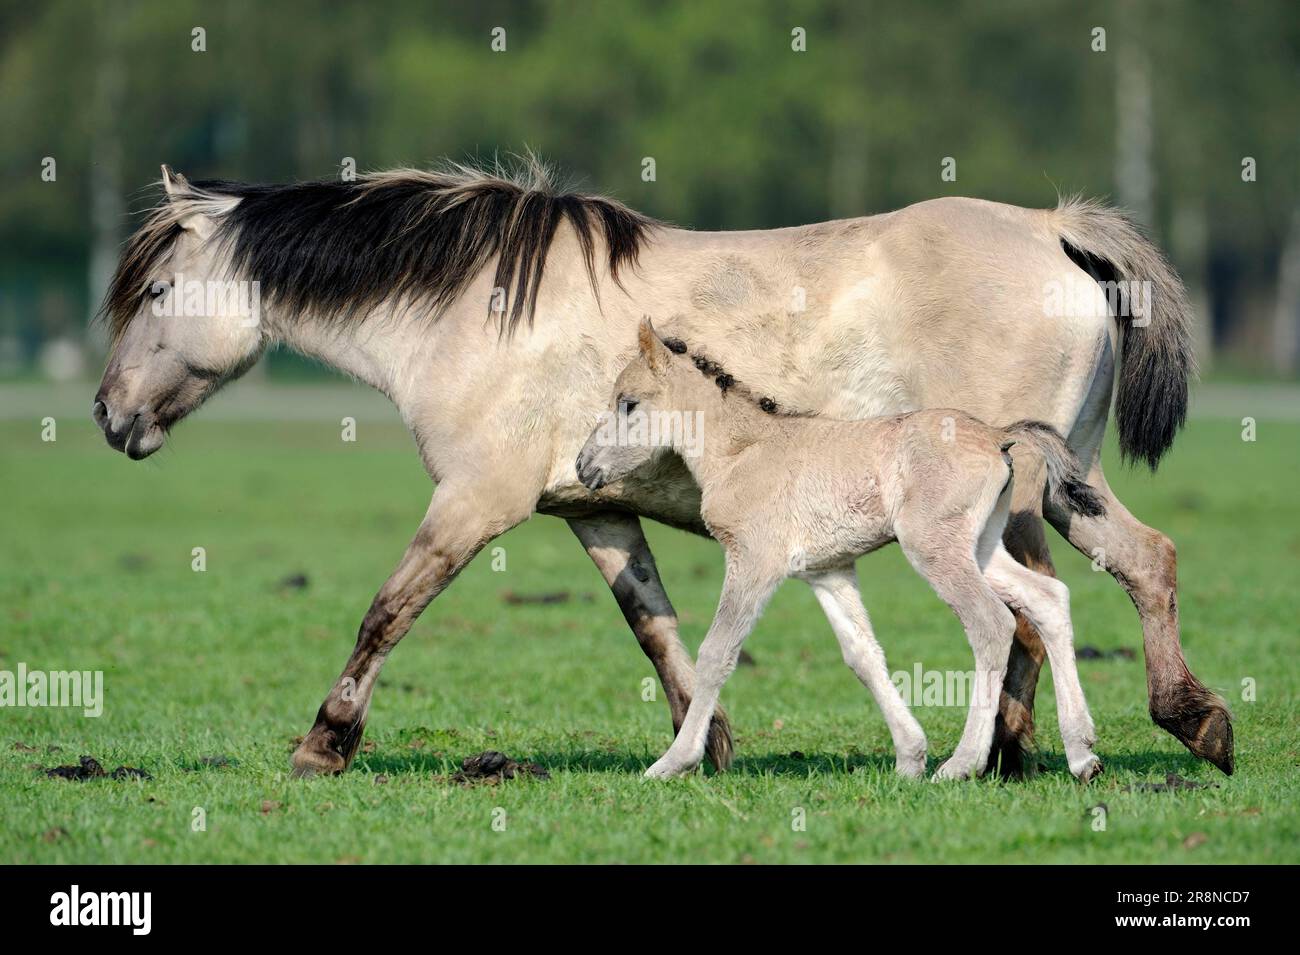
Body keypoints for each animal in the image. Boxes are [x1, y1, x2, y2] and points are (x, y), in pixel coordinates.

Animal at [577, 318, 1105, 781]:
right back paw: (1082, 753)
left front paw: (673, 762)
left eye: (628, 403)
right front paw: (910, 758)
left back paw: (962, 764)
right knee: (1048, 598)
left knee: (991, 622)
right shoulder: (828, 570)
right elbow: (862, 655)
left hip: (934, 548)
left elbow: (717, 652)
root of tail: (998, 438)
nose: (584, 467)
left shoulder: (754, 560)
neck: (742, 452)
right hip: (981, 547)